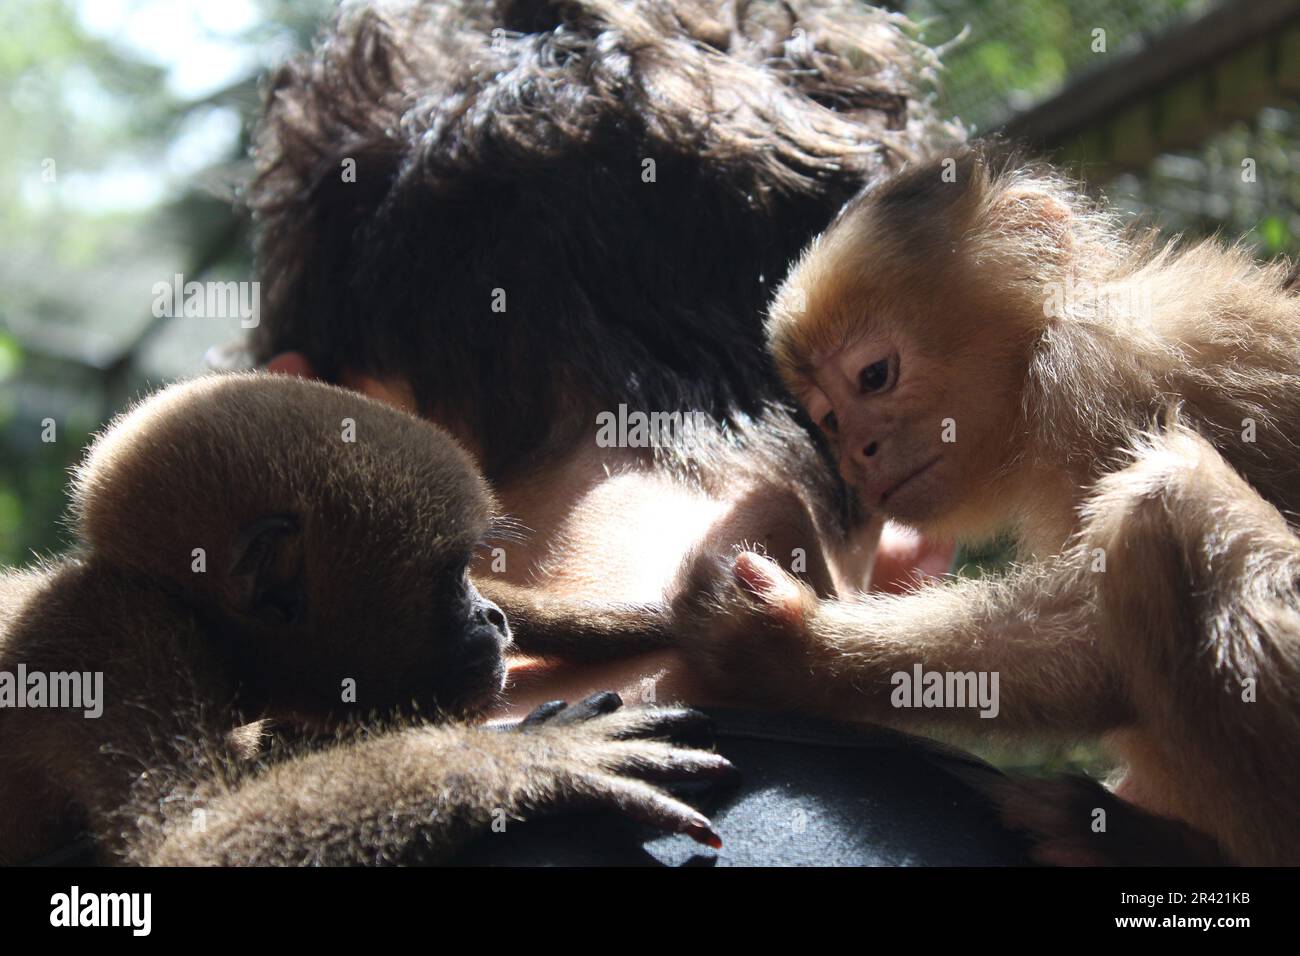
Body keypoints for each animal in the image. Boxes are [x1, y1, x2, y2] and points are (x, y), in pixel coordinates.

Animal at [0, 372, 733, 865]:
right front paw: (530, 758)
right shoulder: (122, 648)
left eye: (468, 572)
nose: (494, 619)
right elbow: (187, 848)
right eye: (449, 578)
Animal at [673, 146, 1300, 865]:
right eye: (829, 419)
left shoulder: (1098, 367)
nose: (859, 453)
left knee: (1166, 505)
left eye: (875, 377)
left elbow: (1094, 642)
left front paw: (794, 653)